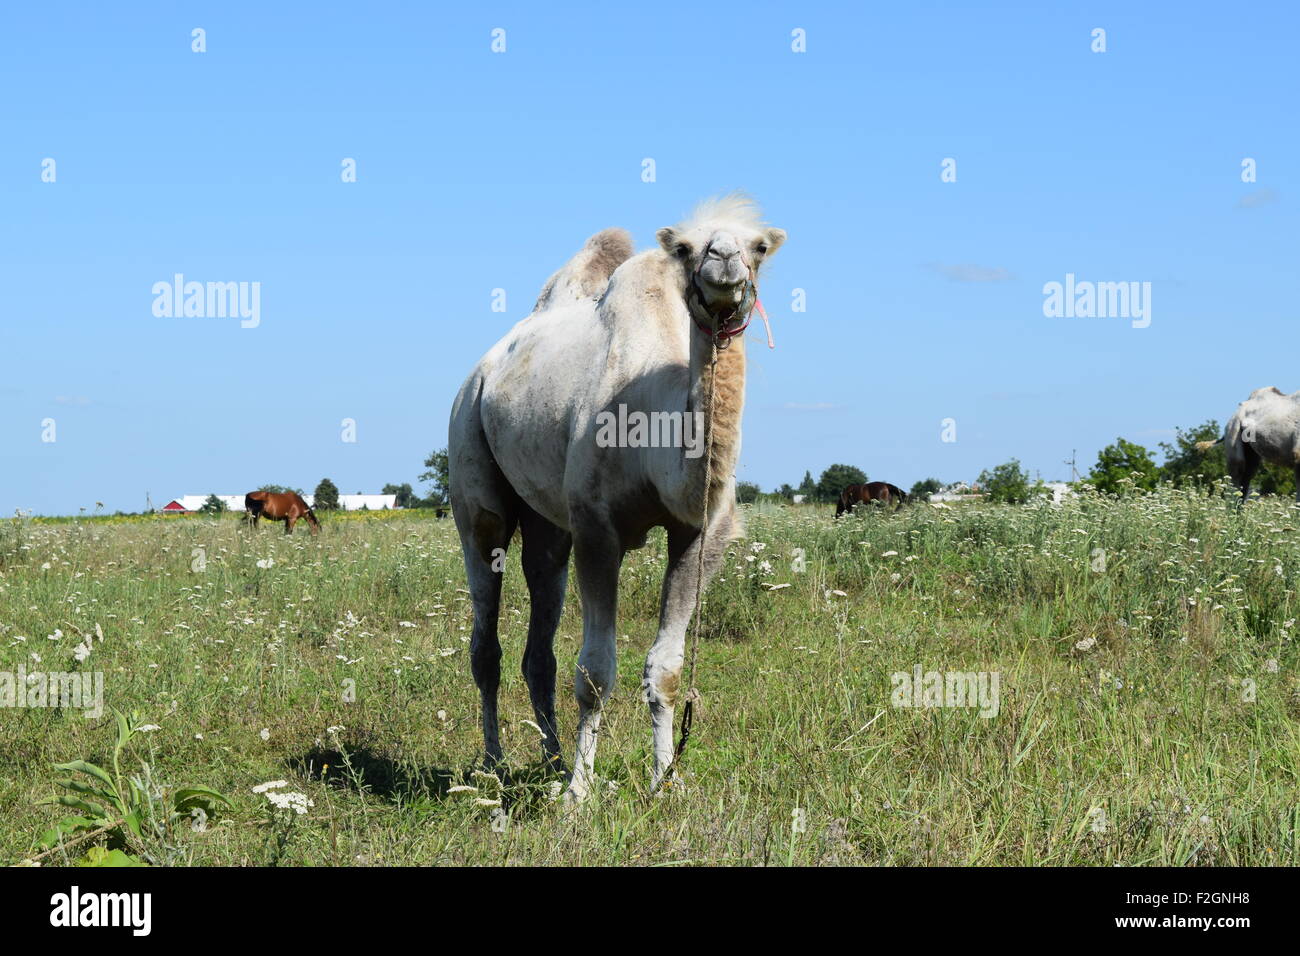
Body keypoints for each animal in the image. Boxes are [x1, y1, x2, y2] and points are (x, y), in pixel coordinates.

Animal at [448, 196, 786, 801]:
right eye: (687, 248)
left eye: (760, 247)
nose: (723, 261)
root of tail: (482, 371)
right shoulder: (597, 529)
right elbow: (596, 672)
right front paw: (580, 794)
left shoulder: (698, 534)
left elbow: (666, 668)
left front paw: (664, 781)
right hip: (471, 464)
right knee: (486, 635)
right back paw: (495, 764)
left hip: (548, 523)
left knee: (540, 642)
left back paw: (552, 760)